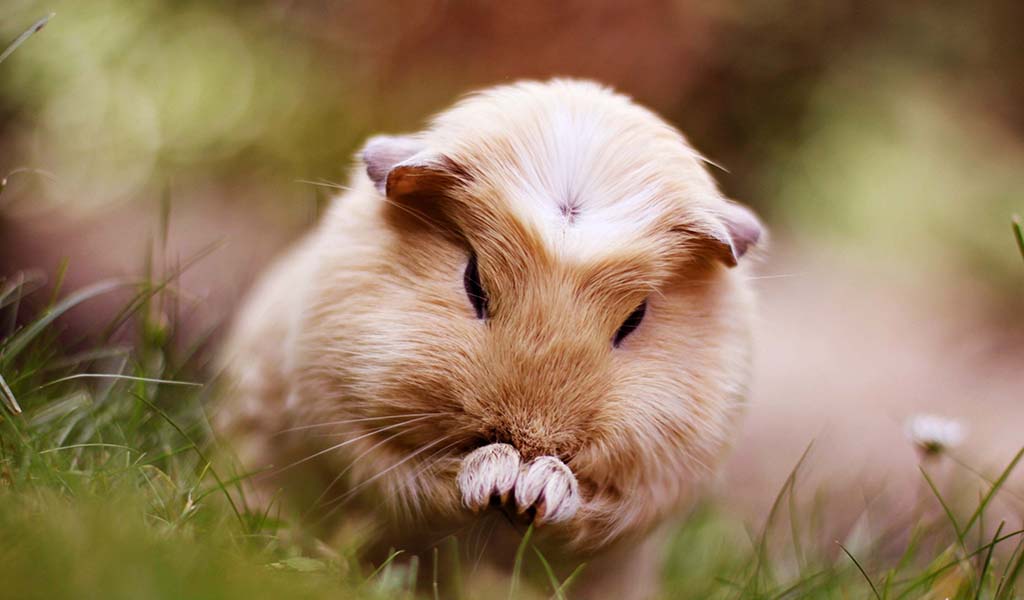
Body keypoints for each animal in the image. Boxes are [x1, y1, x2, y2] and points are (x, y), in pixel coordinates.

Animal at [215, 79, 763, 598]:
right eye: (473, 280)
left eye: (636, 317)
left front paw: (535, 489)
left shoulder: (661, 484)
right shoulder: (342, 421)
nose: (531, 437)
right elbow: (410, 477)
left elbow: (603, 511)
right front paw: (499, 477)